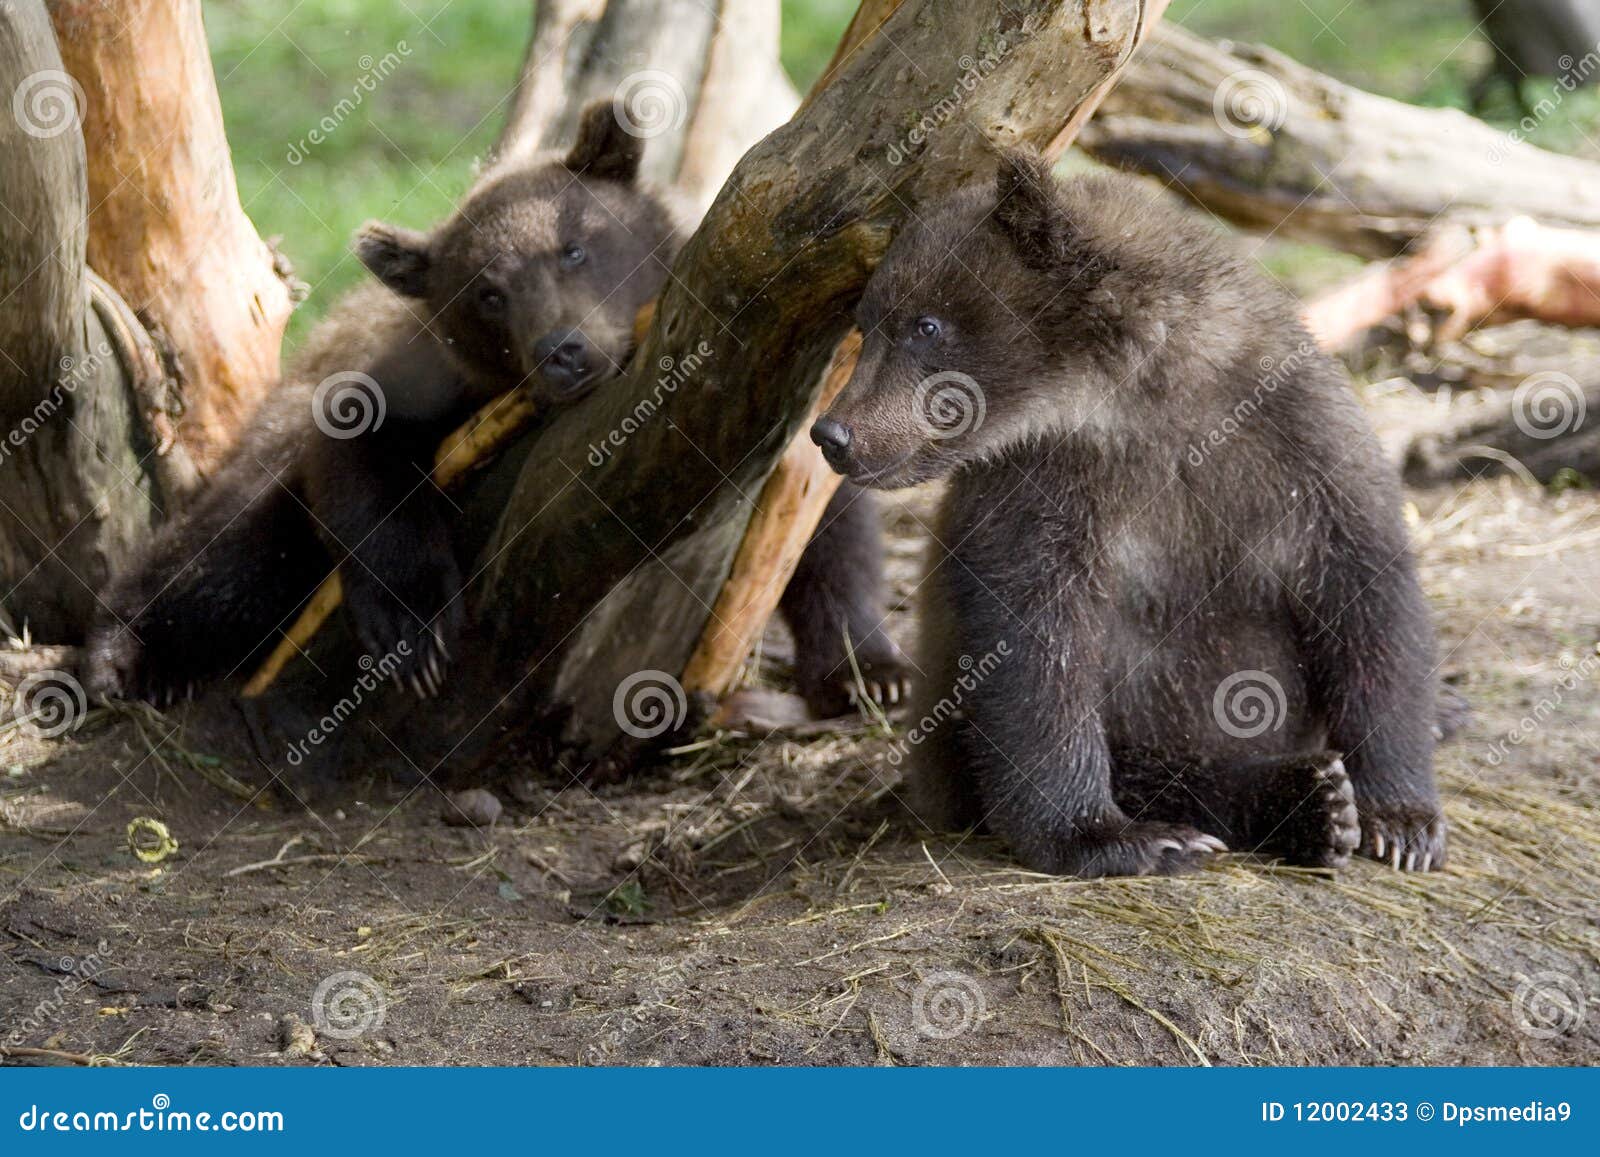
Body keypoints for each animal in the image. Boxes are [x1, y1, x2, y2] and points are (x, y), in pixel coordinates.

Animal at [87, 101, 907, 716]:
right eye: (487, 292)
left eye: (574, 247)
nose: (562, 351)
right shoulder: (417, 388)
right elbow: (362, 466)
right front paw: (414, 633)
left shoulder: (772, 400)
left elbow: (824, 527)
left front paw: (869, 668)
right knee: (220, 552)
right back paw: (119, 657)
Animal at [810, 150, 1445, 878]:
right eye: (868, 322)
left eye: (925, 324)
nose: (833, 433)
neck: (1143, 398)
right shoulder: (1043, 489)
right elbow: (1037, 653)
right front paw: (1111, 834)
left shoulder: (1296, 448)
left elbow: (1368, 597)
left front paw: (1402, 820)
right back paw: (1294, 803)